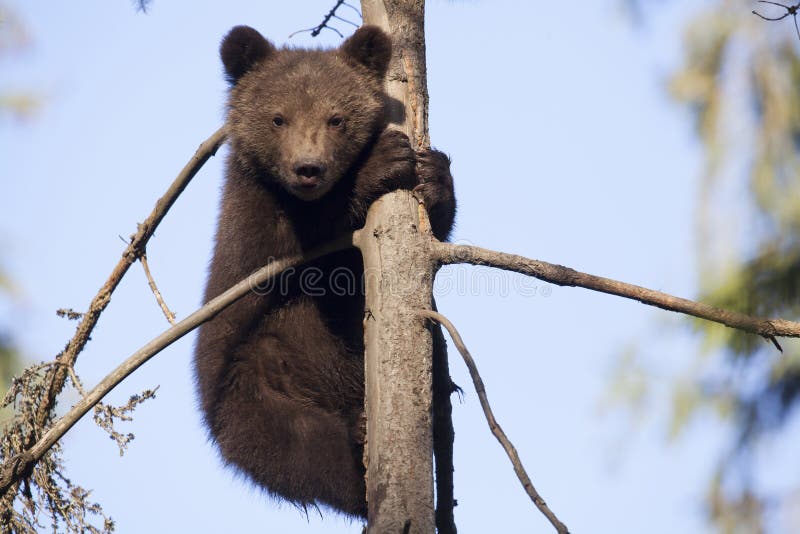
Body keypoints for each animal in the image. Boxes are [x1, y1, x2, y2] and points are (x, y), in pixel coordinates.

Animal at [193, 23, 457, 523]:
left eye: (337, 118)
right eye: (278, 118)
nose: (308, 169)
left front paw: (435, 174)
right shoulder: (256, 223)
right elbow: (298, 244)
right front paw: (382, 163)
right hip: (245, 379)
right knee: (299, 443)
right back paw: (358, 441)